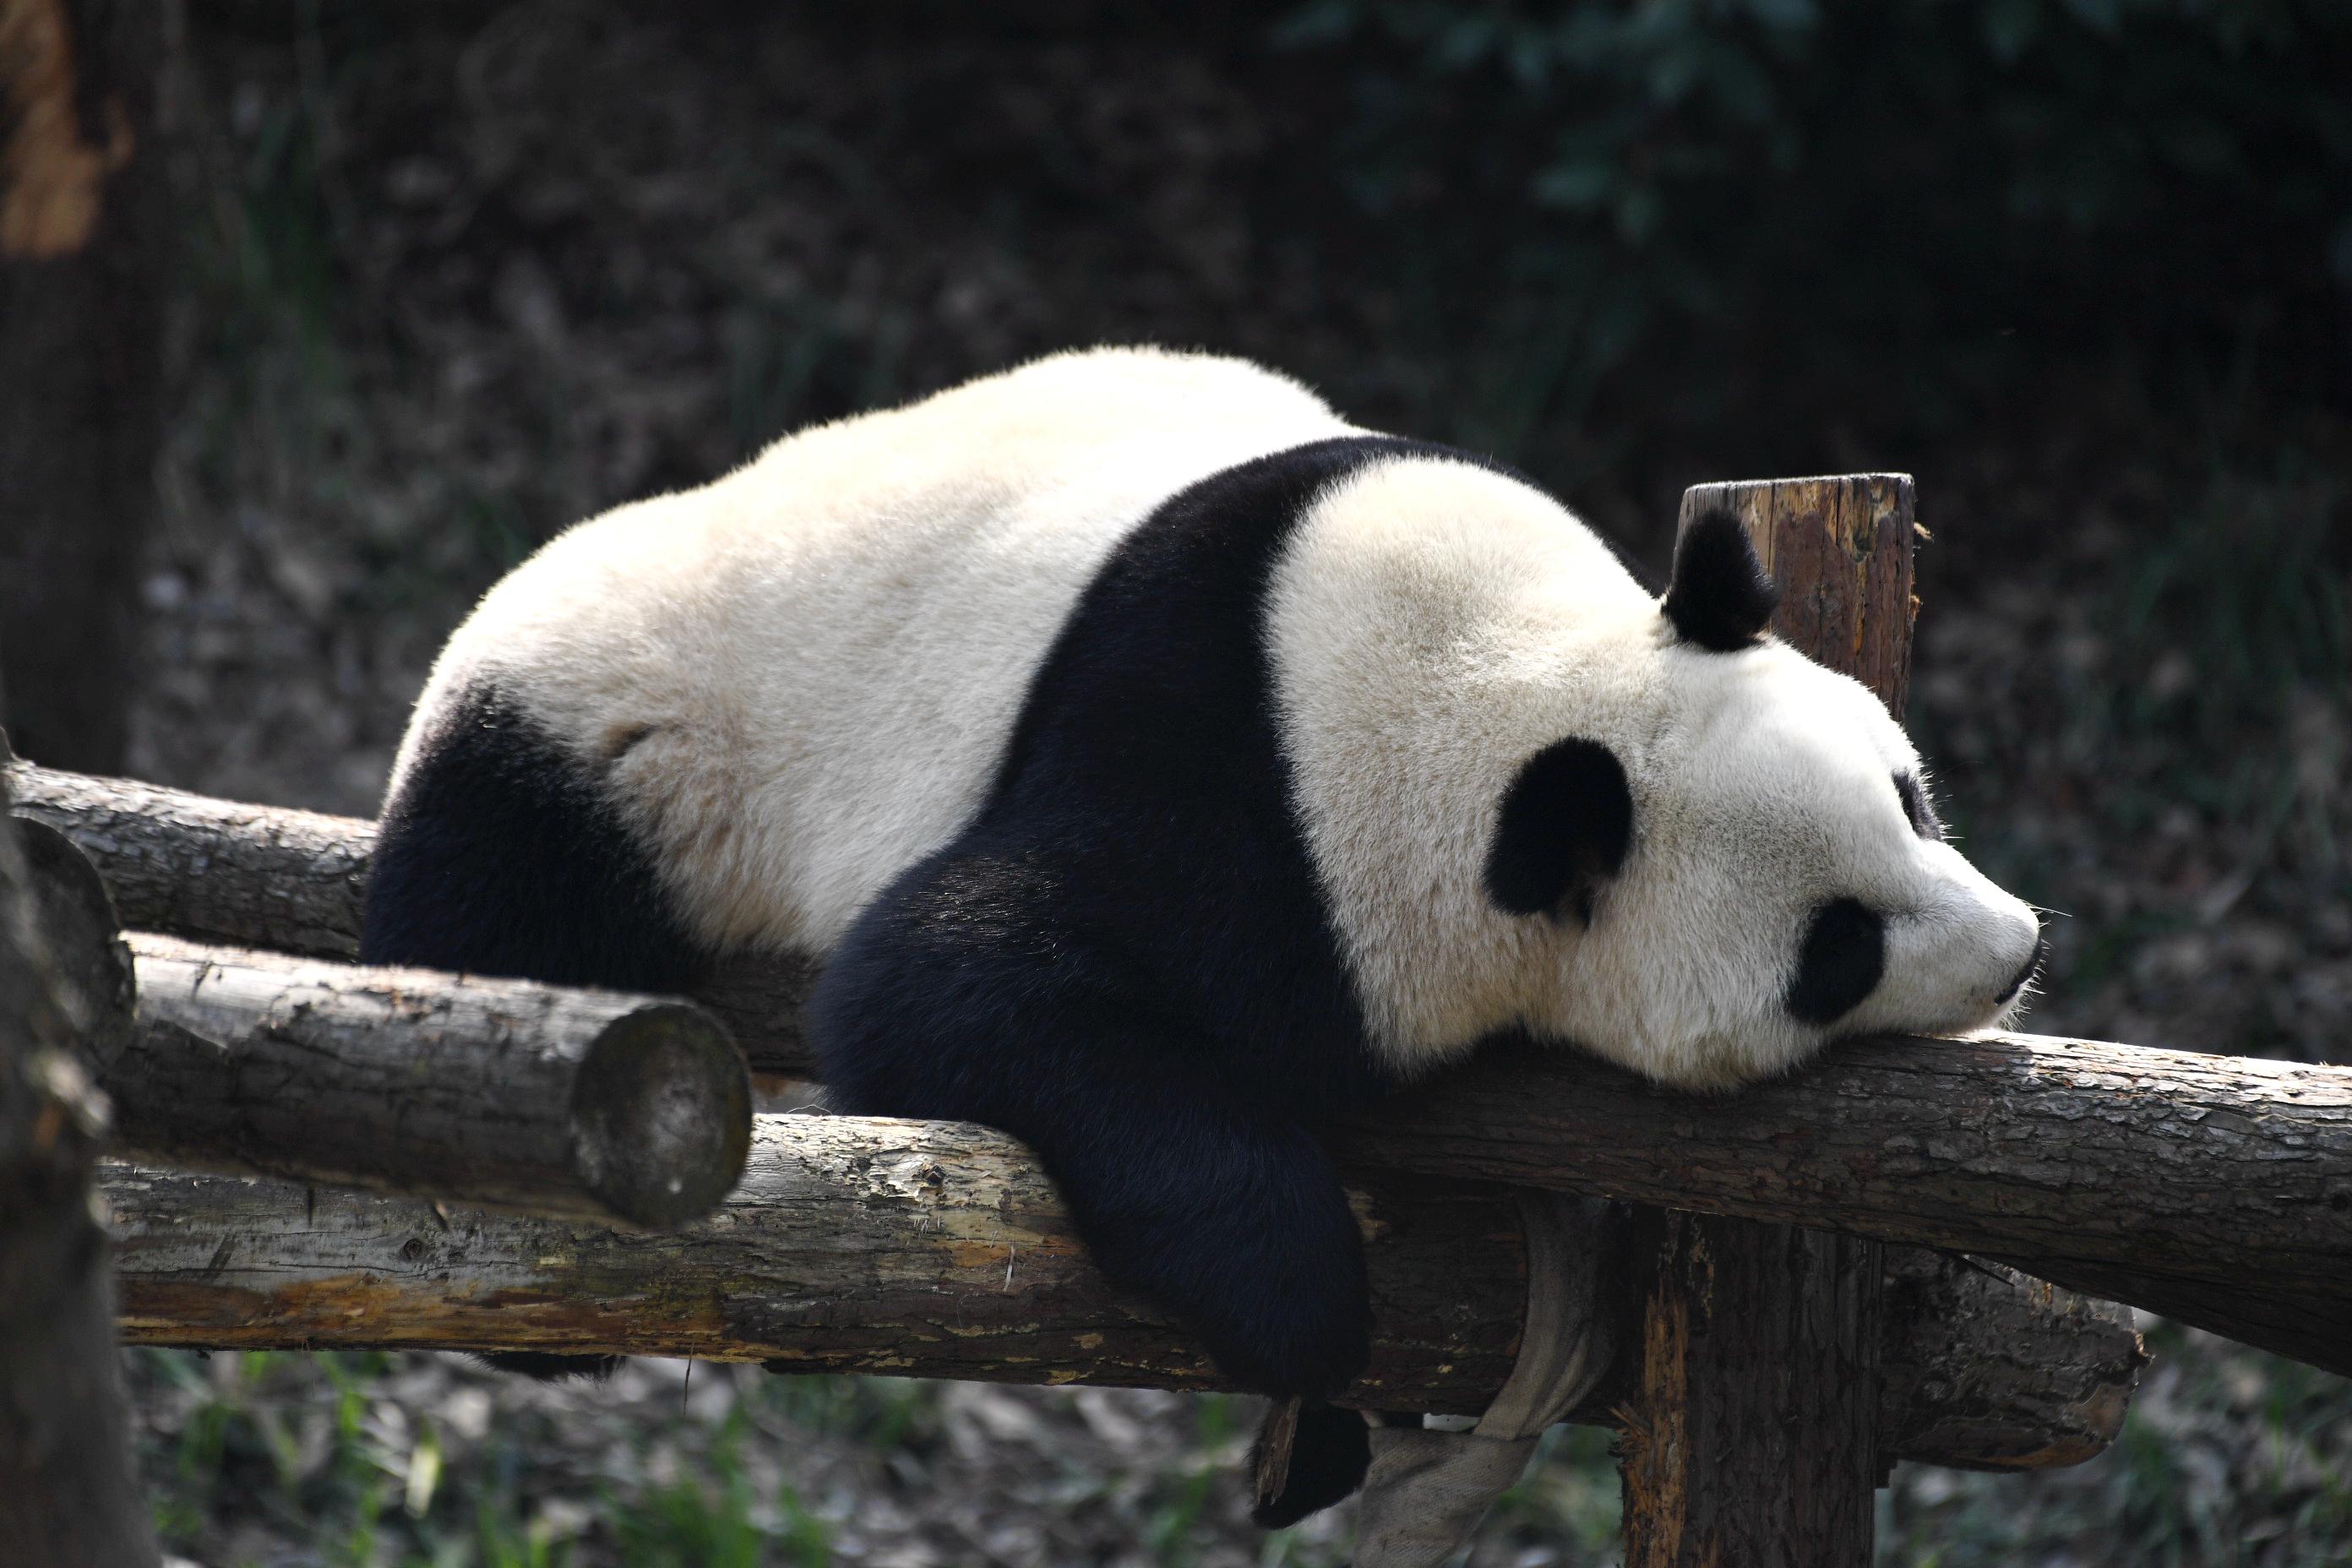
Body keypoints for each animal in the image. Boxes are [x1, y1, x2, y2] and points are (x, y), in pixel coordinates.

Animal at [364, 346, 2045, 1523]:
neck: (1506, 683)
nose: (2019, 949)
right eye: (1834, 949)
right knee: (499, 907)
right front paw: (1303, 1298)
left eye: (1910, 795)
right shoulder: (1229, 794)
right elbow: (943, 980)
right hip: (619, 730)